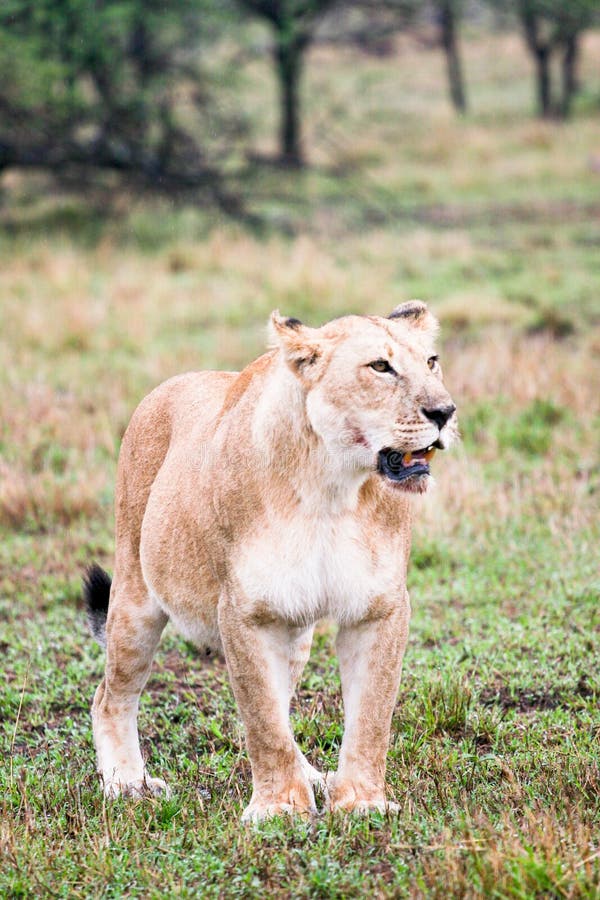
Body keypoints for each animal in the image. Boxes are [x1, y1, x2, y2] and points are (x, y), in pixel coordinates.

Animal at [84, 302, 457, 821]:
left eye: (431, 362)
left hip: (295, 633)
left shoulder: (379, 608)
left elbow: (371, 717)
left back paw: (317, 777)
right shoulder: (247, 612)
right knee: (110, 696)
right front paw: (280, 810)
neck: (332, 488)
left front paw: (361, 802)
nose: (445, 412)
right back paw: (125, 783)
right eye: (380, 367)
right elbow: (264, 721)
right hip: (135, 600)